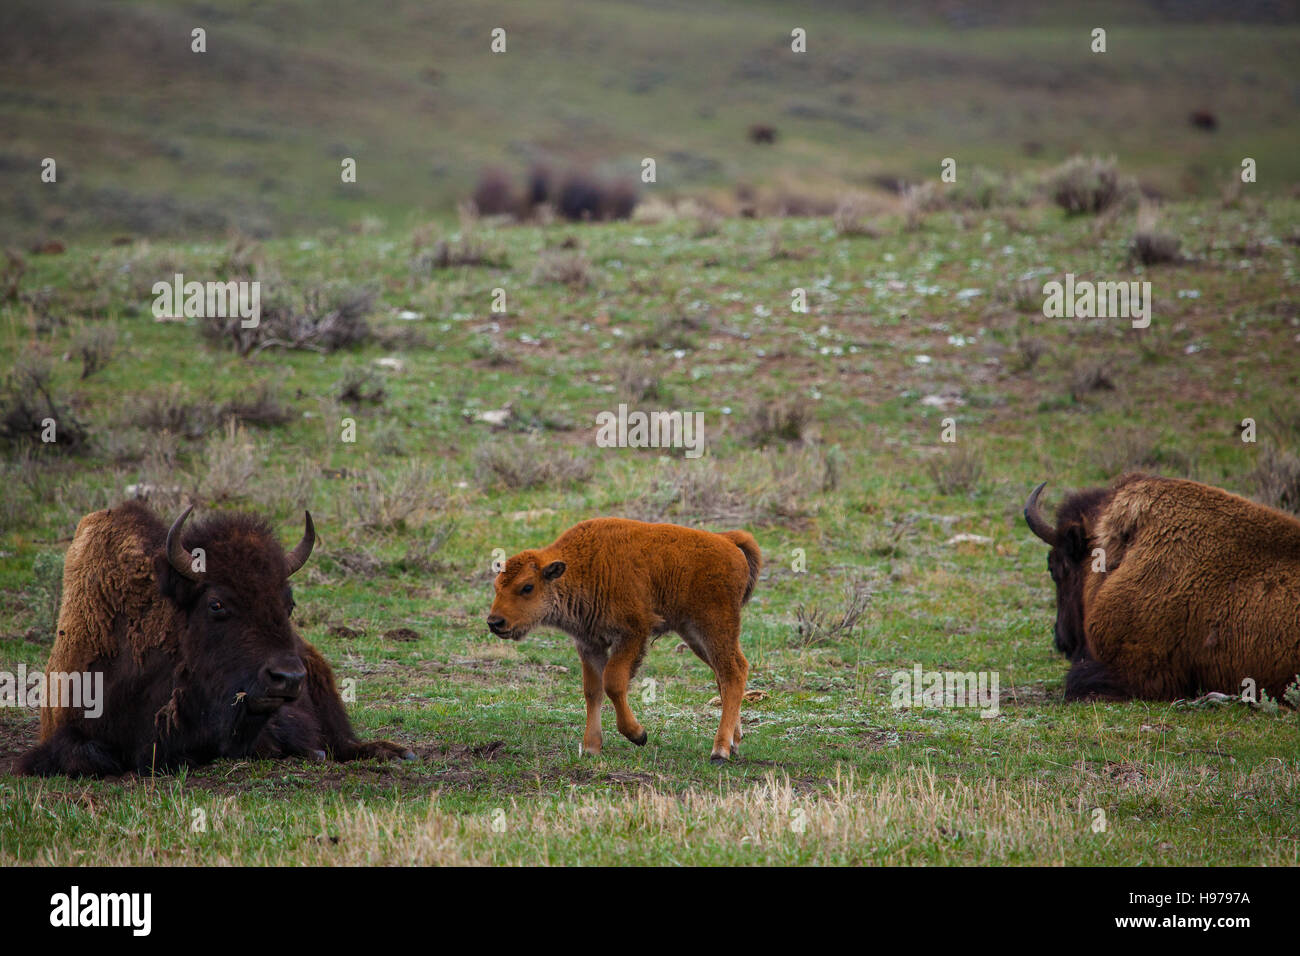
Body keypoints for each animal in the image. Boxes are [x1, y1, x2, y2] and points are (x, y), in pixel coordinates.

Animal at [18, 501, 413, 776]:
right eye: (216, 603)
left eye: (288, 602)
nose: (287, 678)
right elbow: (89, 756)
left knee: (344, 741)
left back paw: (395, 752)